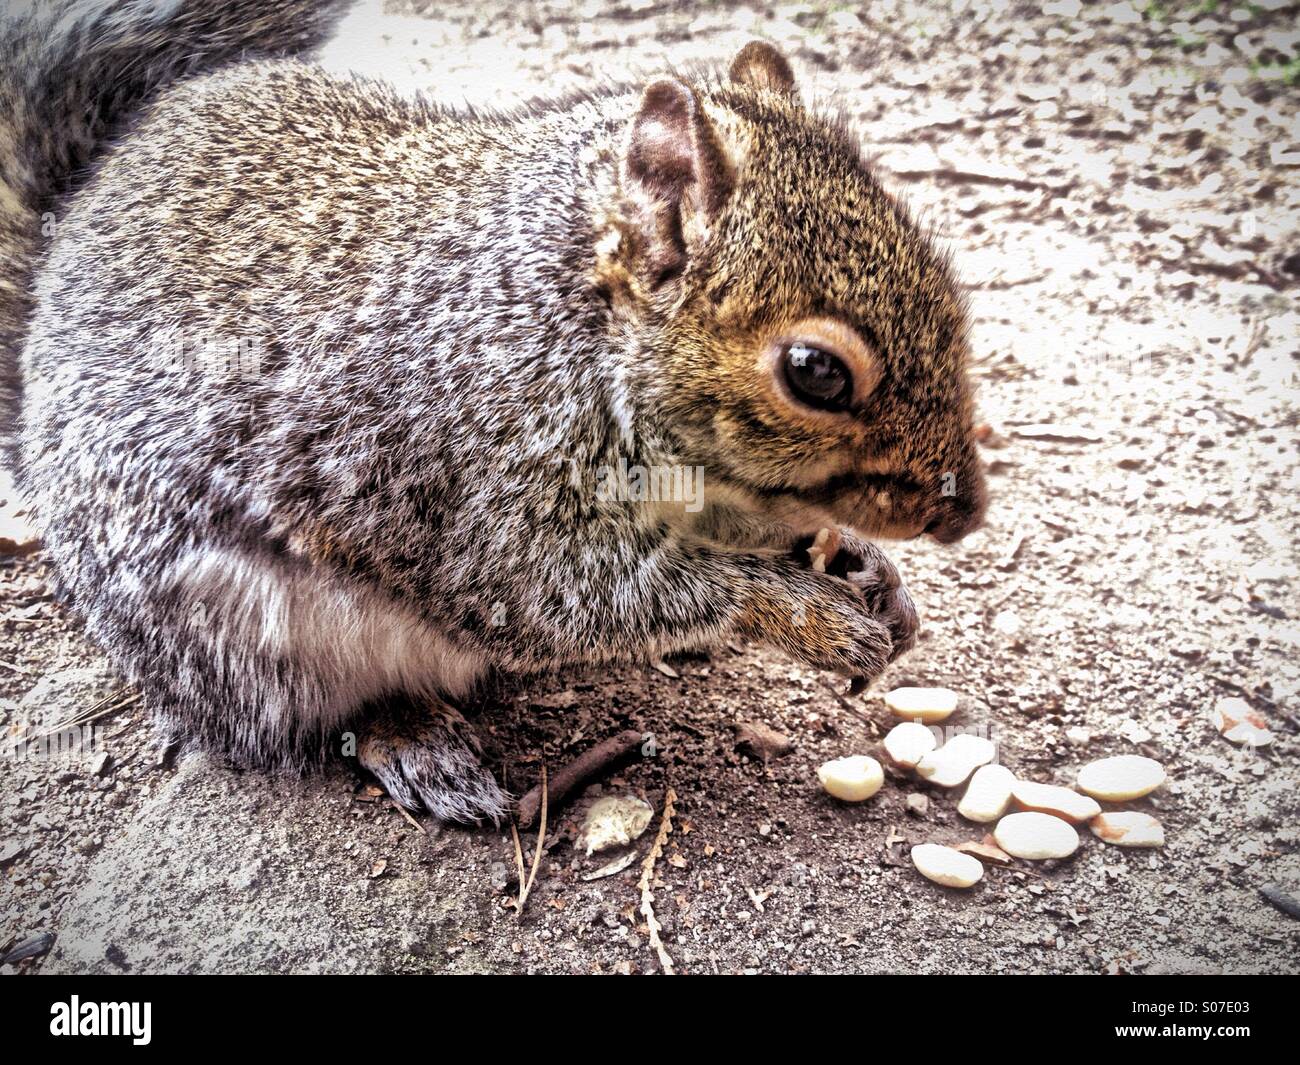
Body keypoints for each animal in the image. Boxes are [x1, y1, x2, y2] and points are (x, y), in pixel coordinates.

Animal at [1, 2, 987, 823]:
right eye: (815, 373)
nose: (965, 513)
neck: (568, 313)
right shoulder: (469, 481)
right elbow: (566, 593)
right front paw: (803, 610)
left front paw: (865, 569)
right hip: (235, 637)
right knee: (308, 718)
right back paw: (412, 737)